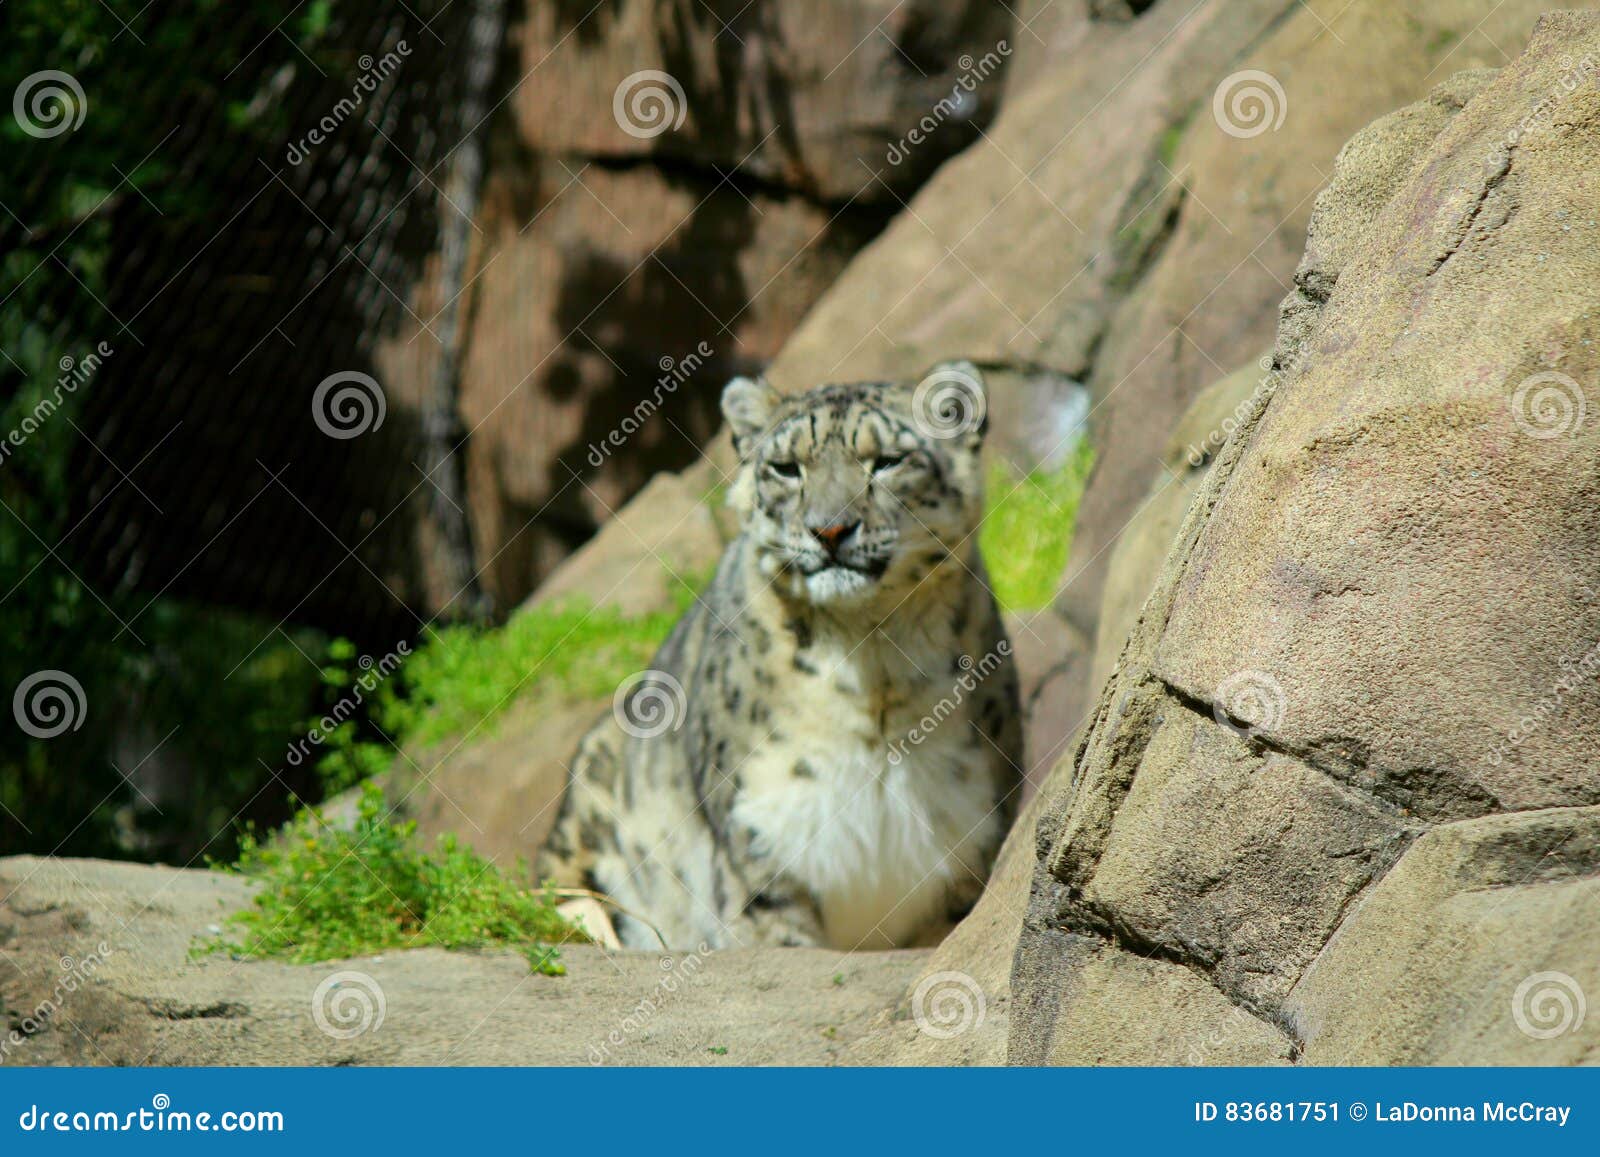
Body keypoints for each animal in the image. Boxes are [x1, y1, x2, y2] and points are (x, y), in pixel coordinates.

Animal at [537, 362, 1023, 951]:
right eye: (787, 468)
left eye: (888, 460)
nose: (830, 529)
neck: (873, 662)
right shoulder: (764, 853)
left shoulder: (964, 847)